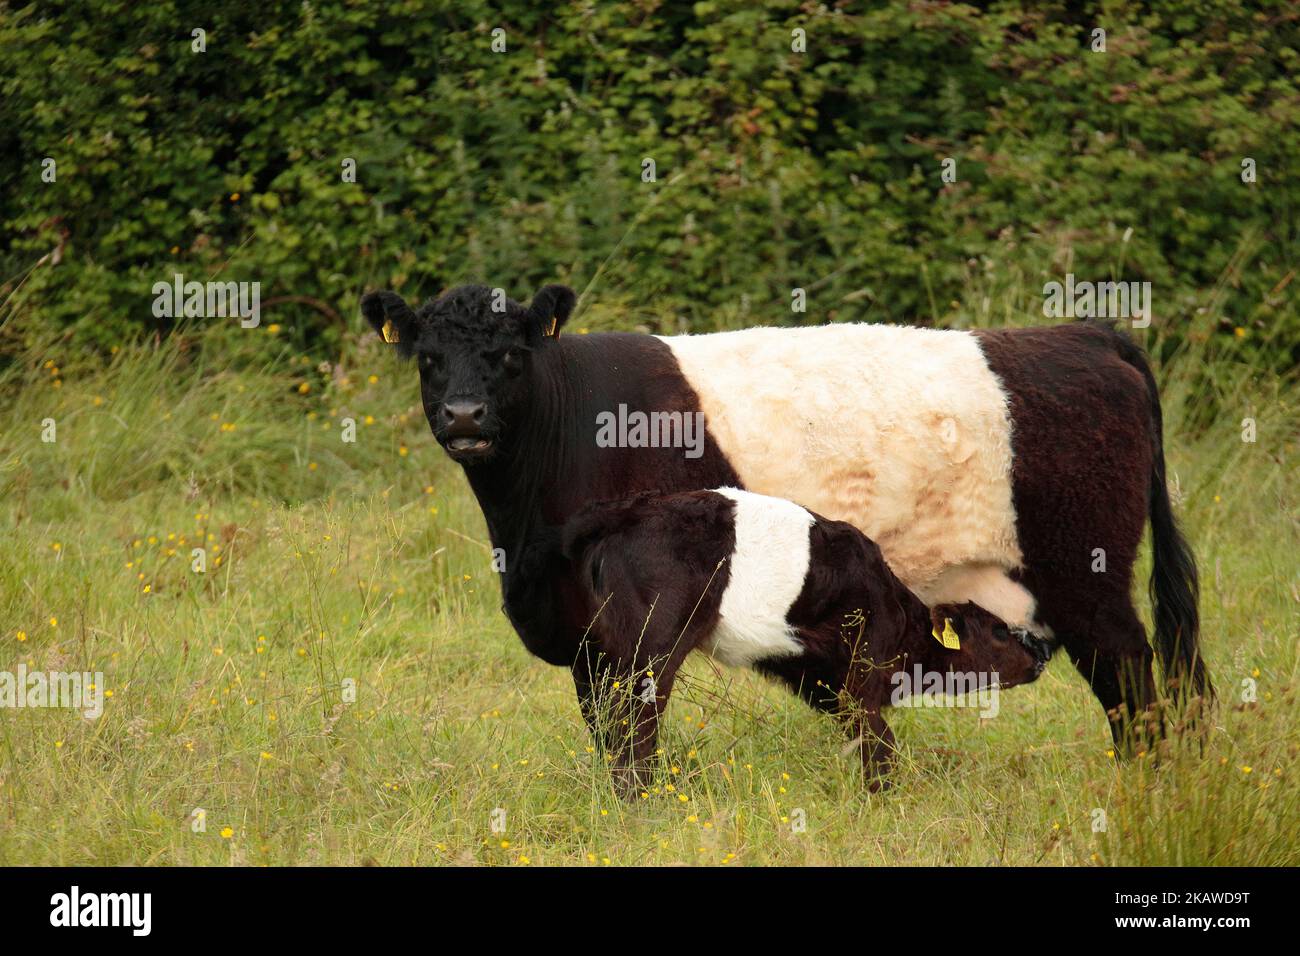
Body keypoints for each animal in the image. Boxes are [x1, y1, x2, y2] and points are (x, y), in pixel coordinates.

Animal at [361, 282, 1208, 758]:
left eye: (508, 357)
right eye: (428, 359)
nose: (464, 416)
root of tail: (1085, 334)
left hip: (1087, 577)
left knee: (1140, 688)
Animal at [559, 486, 1056, 794]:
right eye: (998, 629)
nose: (1042, 651)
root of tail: (626, 512)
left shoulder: (827, 681)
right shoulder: (865, 669)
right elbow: (879, 739)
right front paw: (883, 799)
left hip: (593, 653)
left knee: (602, 716)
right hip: (652, 648)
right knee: (633, 721)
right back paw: (643, 799)